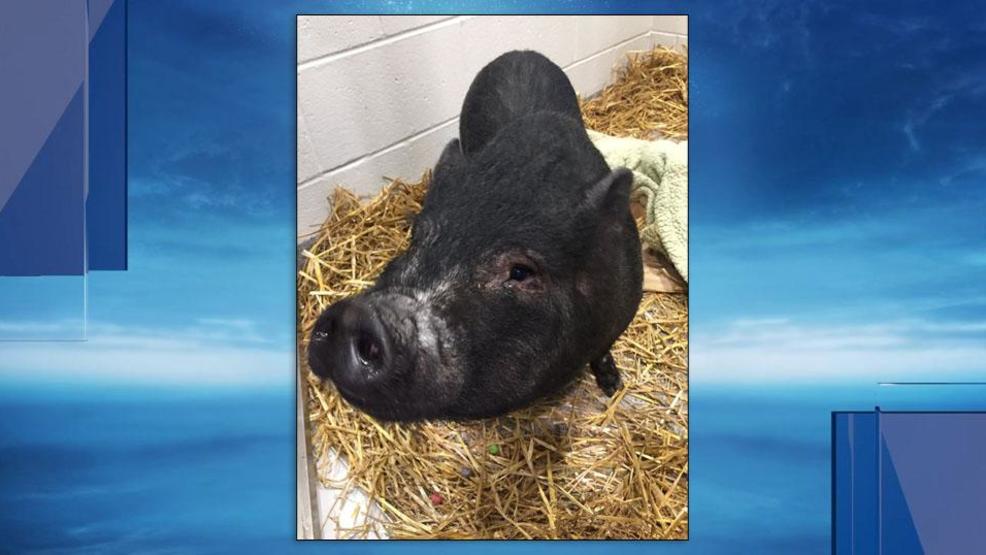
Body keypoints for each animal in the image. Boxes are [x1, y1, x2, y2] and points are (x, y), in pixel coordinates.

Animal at [307, 50, 642, 422]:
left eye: (521, 271)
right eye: (417, 237)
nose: (355, 315)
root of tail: (520, 52)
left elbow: (604, 349)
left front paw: (612, 385)